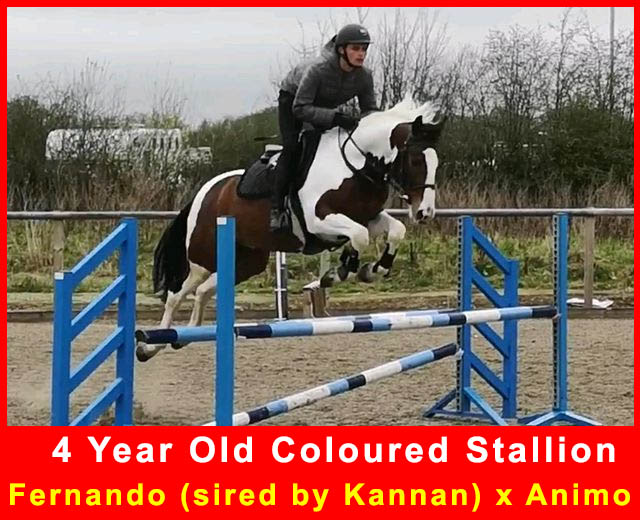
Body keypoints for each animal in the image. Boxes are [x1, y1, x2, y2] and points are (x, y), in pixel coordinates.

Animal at [136, 96, 446, 361]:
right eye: (415, 160)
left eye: (436, 163)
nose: (424, 213)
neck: (355, 166)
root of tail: (206, 191)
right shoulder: (320, 220)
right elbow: (359, 237)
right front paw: (338, 272)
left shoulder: (369, 218)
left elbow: (395, 230)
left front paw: (372, 269)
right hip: (203, 257)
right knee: (176, 295)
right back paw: (149, 347)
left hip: (247, 261)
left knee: (203, 291)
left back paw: (188, 335)